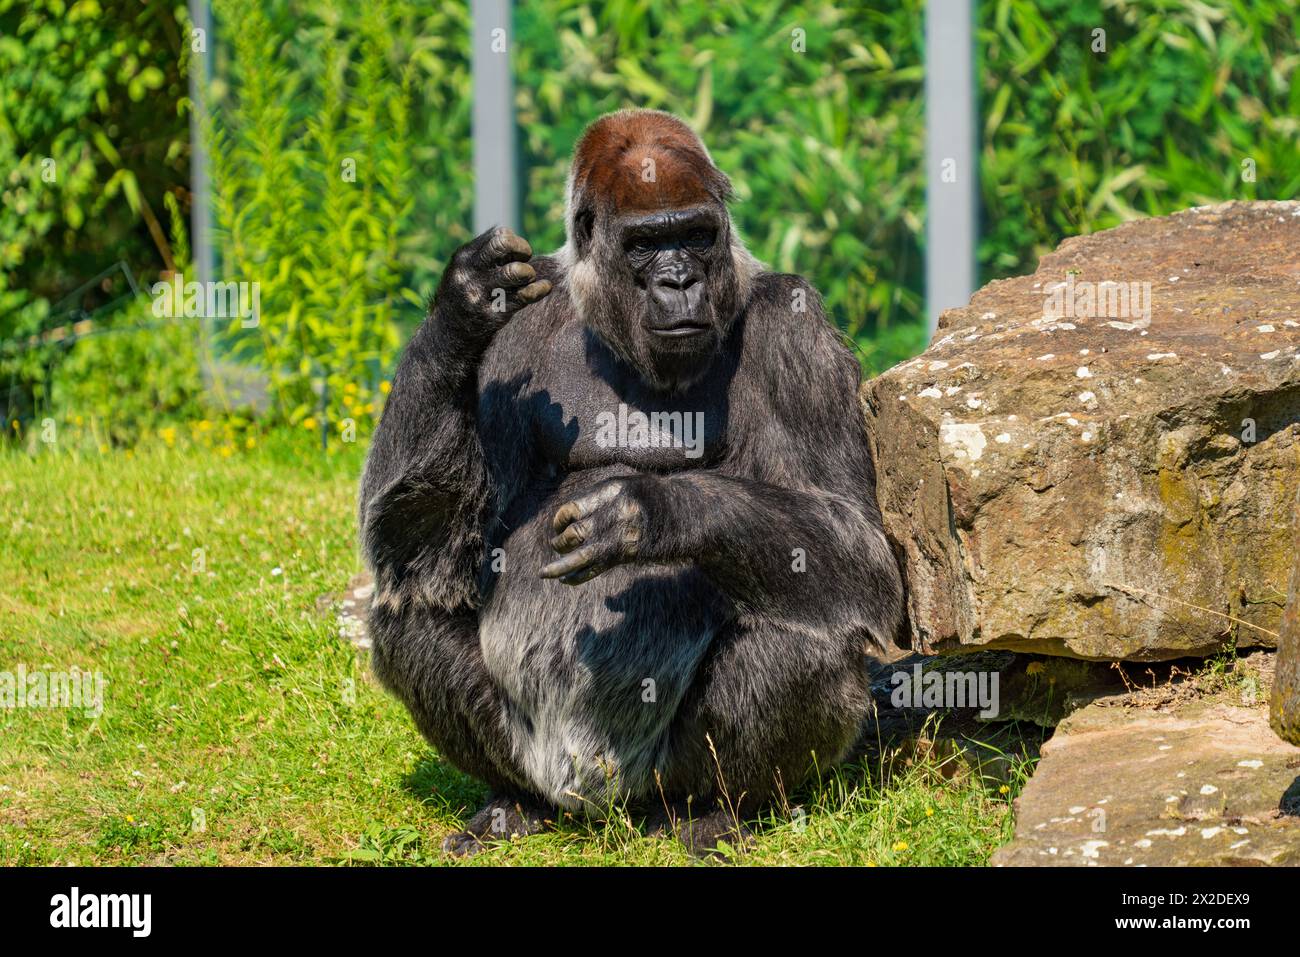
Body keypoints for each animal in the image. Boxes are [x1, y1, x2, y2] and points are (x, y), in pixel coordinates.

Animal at [359, 109, 904, 856]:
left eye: (696, 235)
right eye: (647, 243)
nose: (678, 281)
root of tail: (597, 802)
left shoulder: (797, 327)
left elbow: (859, 546)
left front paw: (647, 511)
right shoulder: (511, 344)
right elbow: (425, 550)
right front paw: (462, 305)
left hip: (659, 784)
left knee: (807, 639)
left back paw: (725, 811)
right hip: (535, 760)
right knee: (406, 611)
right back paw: (511, 804)